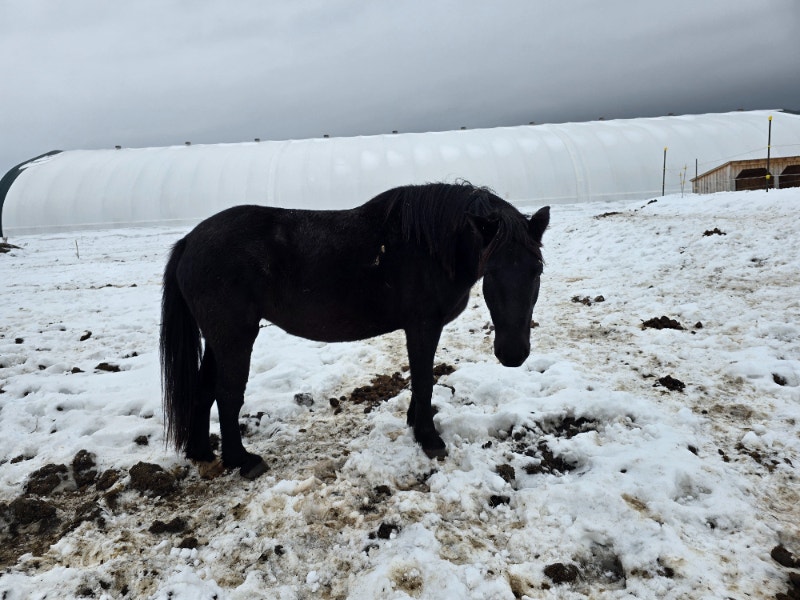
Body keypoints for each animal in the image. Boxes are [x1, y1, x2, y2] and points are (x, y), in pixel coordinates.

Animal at [160, 182, 549, 479]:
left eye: (536, 271)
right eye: (492, 271)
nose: (513, 353)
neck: (429, 246)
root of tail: (189, 242)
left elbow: (419, 378)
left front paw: (415, 423)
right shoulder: (423, 325)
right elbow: (424, 378)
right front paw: (429, 438)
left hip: (218, 340)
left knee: (204, 390)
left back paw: (202, 453)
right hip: (234, 338)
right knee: (227, 395)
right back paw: (242, 461)